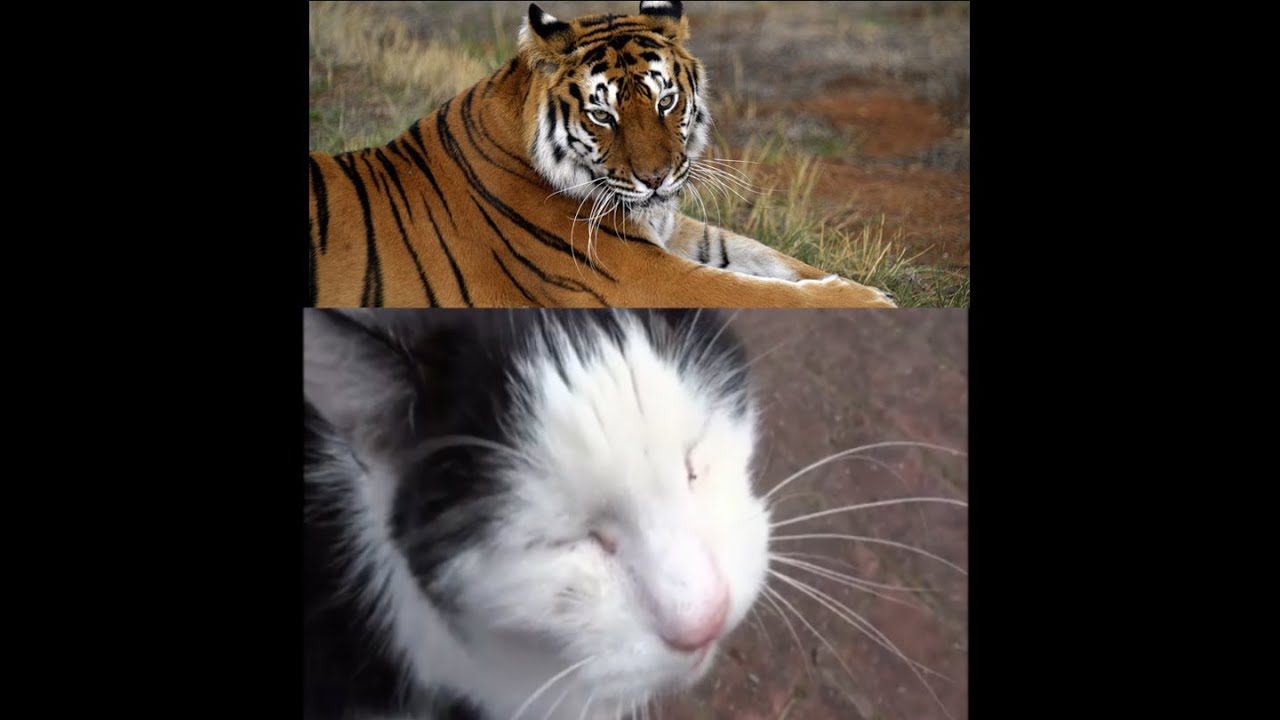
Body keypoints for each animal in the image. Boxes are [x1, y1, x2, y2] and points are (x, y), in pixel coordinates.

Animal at [307, 1, 897, 308]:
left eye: (665, 100)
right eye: (602, 115)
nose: (657, 179)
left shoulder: (667, 229)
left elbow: (767, 259)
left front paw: (860, 284)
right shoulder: (637, 274)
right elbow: (750, 291)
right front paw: (869, 301)